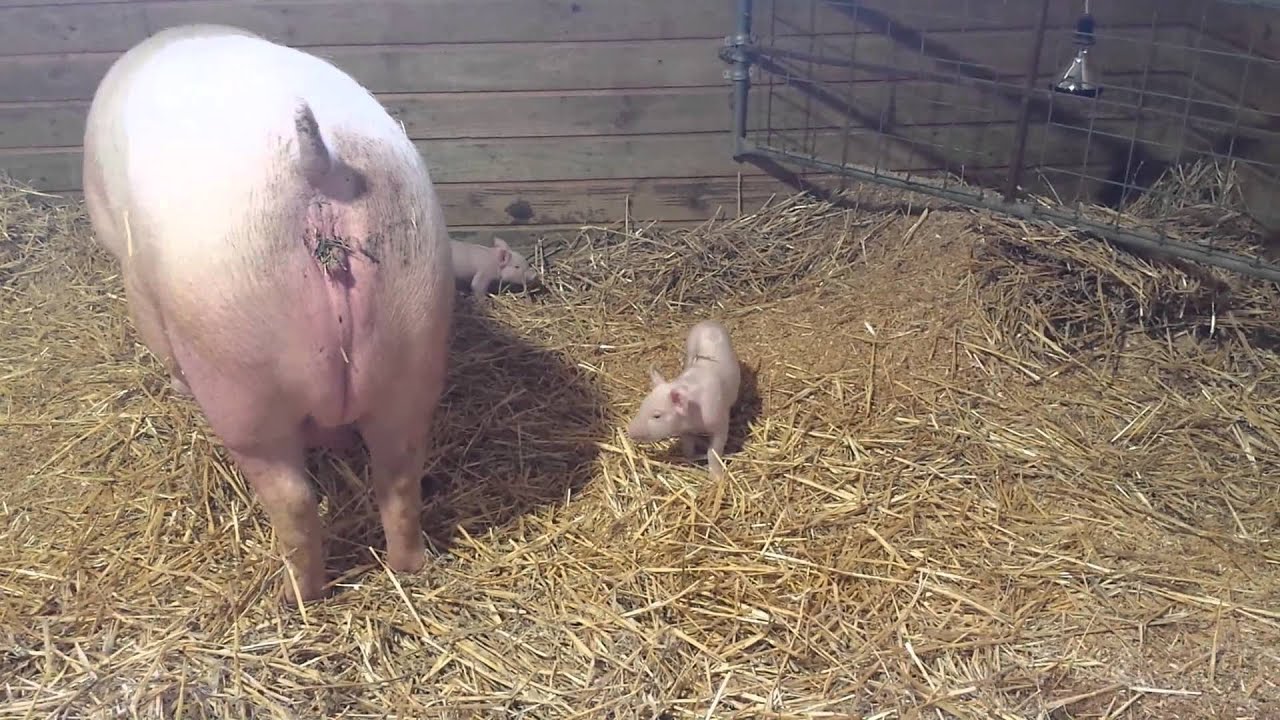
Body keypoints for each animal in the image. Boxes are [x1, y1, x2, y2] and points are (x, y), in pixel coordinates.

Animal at [81, 24, 455, 605]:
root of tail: (317, 159)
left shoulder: (136, 280)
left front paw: (175, 387)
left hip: (241, 374)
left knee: (293, 498)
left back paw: (297, 594)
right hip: (415, 326)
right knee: (398, 473)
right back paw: (407, 564)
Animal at [626, 320, 742, 480]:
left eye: (657, 415)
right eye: (642, 406)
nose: (629, 431)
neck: (694, 420)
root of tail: (708, 322)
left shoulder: (721, 423)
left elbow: (714, 451)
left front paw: (717, 478)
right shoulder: (685, 430)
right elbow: (687, 445)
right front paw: (691, 459)